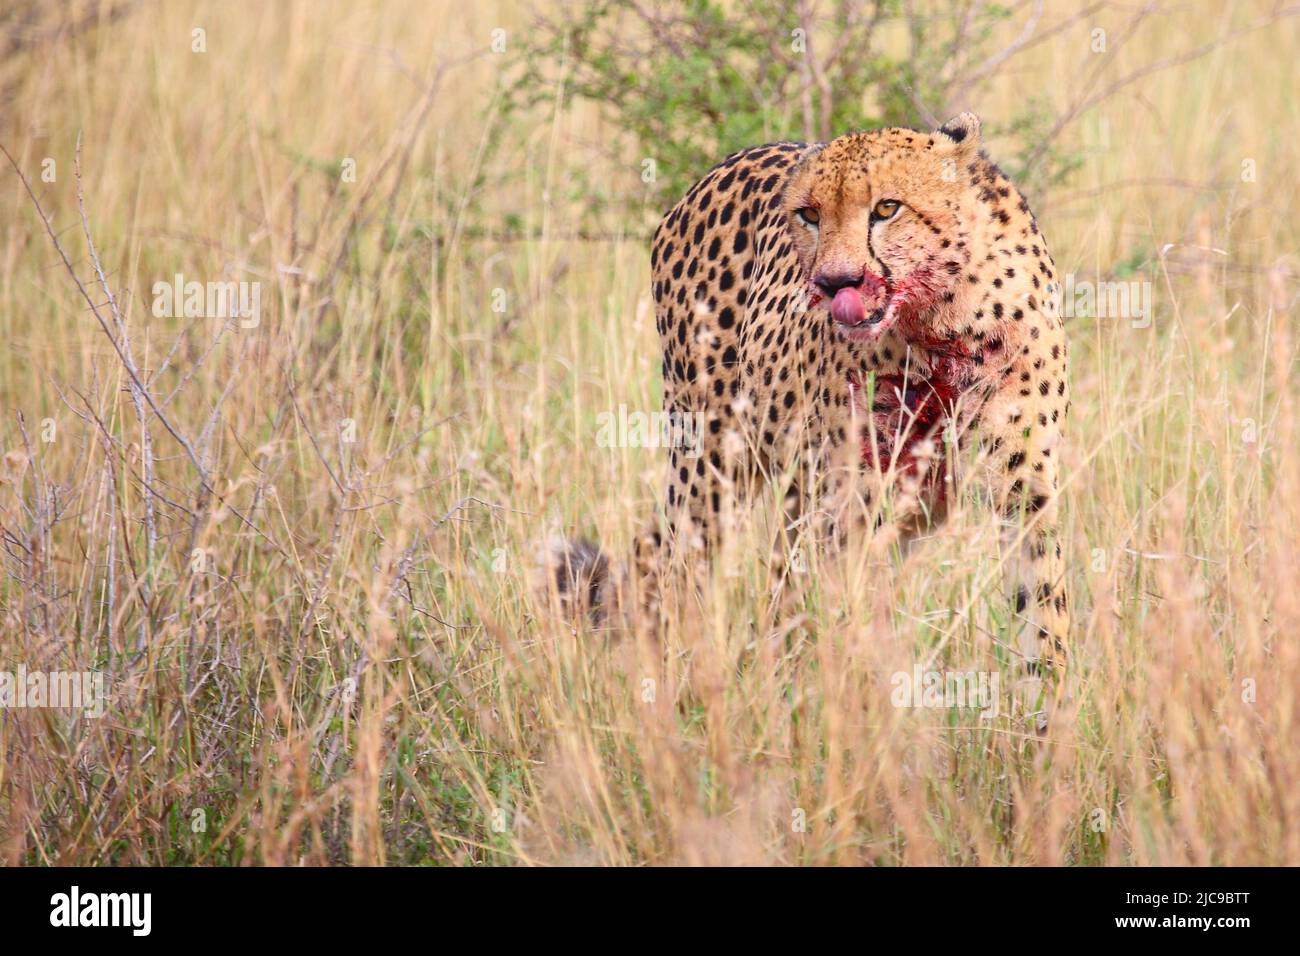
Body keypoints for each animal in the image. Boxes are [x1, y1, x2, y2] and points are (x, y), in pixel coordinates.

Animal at [558, 113, 1070, 676]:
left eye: (886, 208)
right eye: (809, 216)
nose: (834, 282)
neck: (942, 321)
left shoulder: (1023, 489)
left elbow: (1043, 610)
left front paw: (1047, 696)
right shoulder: (847, 498)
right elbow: (827, 612)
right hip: (714, 460)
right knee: (682, 563)